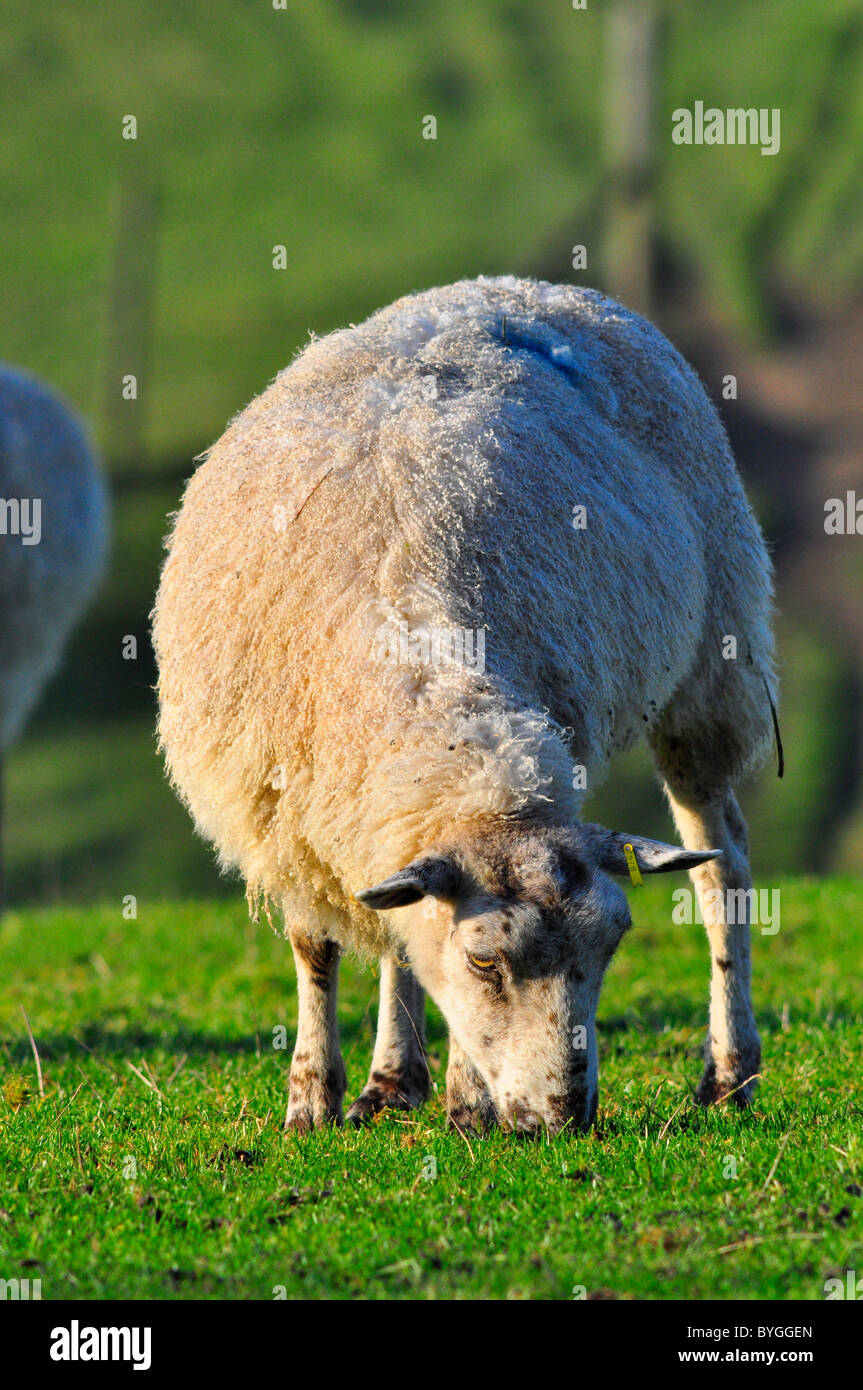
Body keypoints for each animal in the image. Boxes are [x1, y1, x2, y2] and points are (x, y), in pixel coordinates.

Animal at [153, 275, 777, 1133]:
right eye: (484, 960)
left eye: (611, 945)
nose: (564, 1115)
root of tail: (542, 285)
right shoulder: (286, 805)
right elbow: (324, 946)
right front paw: (315, 1097)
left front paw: (464, 1103)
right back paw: (391, 1080)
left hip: (712, 665)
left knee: (724, 868)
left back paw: (727, 1071)